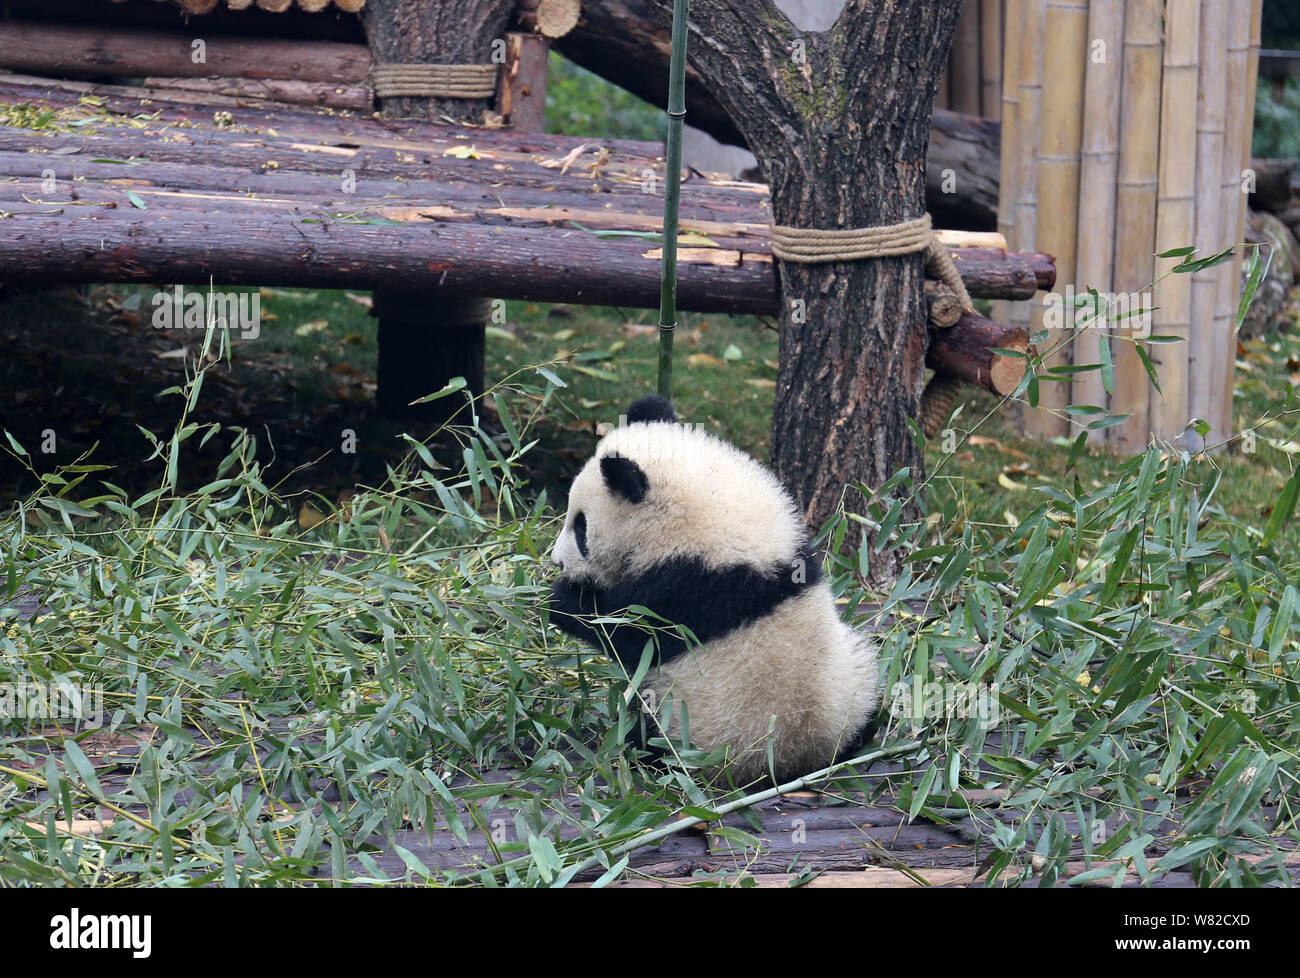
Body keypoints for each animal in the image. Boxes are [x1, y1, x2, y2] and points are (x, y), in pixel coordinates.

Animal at [548, 394, 881, 786]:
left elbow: (629, 631)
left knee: (648, 727)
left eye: (581, 528)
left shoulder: (688, 584)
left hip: (690, 723)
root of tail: (792, 760)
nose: (557, 562)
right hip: (853, 680)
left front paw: (561, 599)